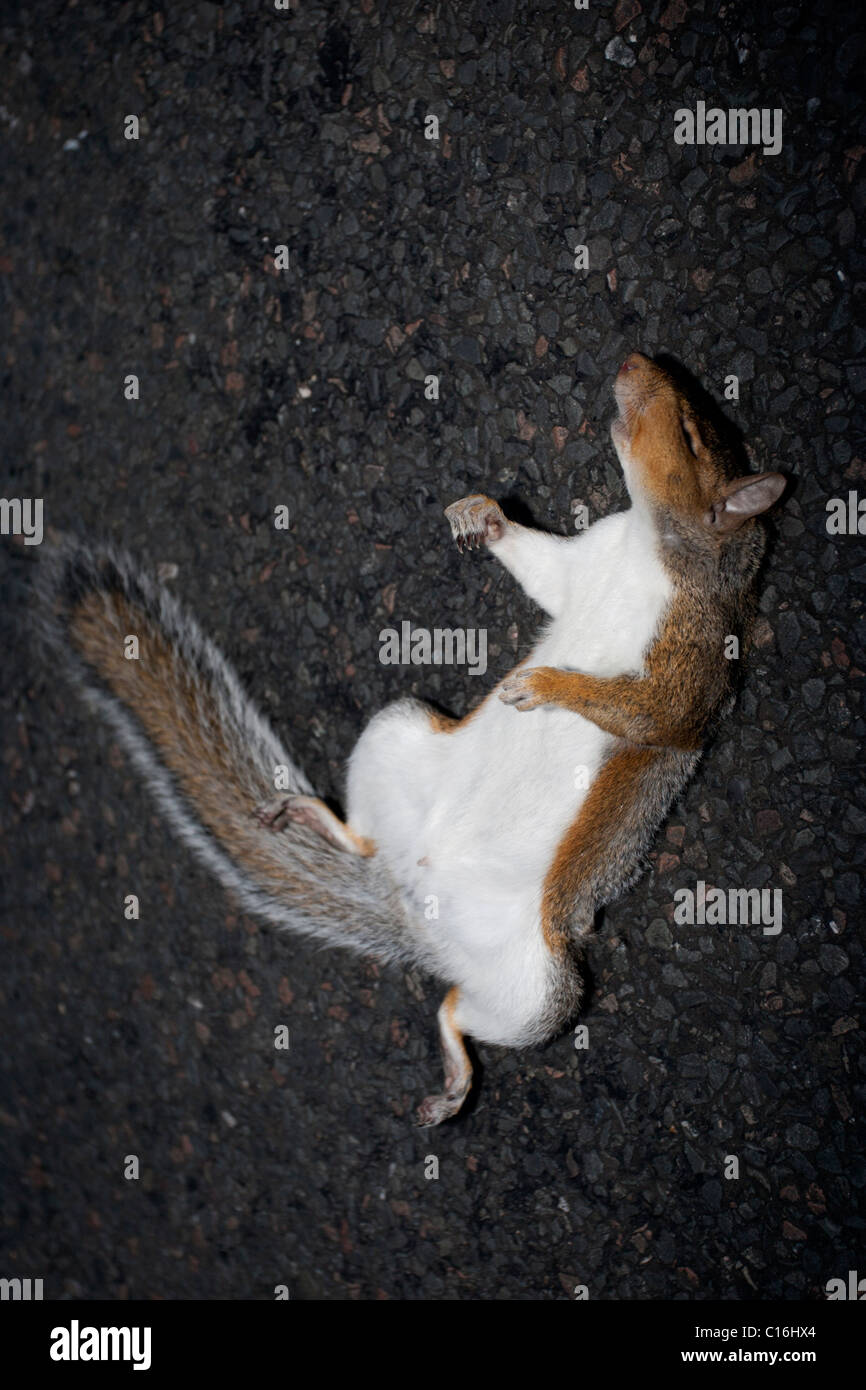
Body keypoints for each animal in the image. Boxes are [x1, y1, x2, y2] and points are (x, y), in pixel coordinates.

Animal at [39, 353, 785, 1126]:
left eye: (692, 436)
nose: (636, 361)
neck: (648, 549)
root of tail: (413, 906)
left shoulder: (694, 662)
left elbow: (649, 709)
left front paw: (545, 687)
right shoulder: (584, 566)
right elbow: (545, 574)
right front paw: (482, 515)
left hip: (538, 990)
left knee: (458, 1011)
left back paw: (454, 1079)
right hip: (395, 738)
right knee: (371, 853)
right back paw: (313, 819)